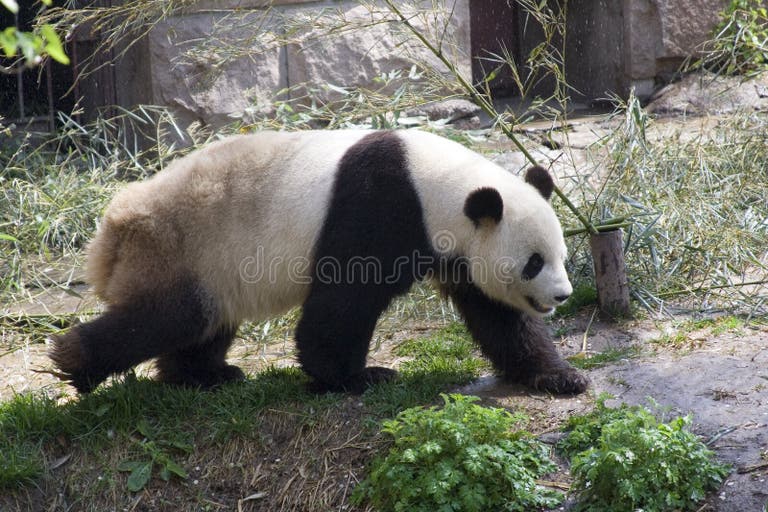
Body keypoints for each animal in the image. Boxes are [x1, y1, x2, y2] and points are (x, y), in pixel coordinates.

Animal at [50, 129, 588, 395]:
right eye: (533, 263)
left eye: (561, 257)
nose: (562, 296)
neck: (437, 185)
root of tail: (113, 229)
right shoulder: (378, 204)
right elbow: (344, 300)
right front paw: (354, 378)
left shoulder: (457, 247)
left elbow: (498, 315)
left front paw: (560, 377)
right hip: (180, 247)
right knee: (167, 316)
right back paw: (75, 360)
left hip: (205, 263)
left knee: (202, 324)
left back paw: (202, 376)